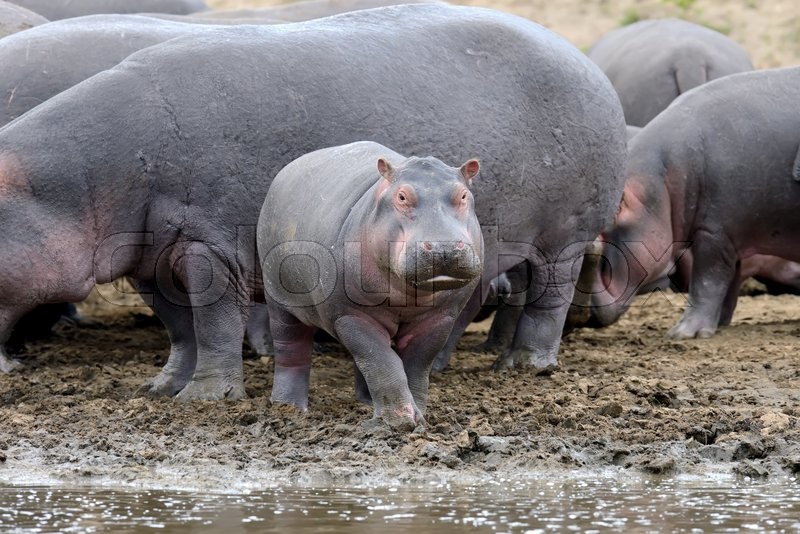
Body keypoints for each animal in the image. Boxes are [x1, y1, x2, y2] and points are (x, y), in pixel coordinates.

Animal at [0, 4, 625, 393]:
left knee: (548, 295)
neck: (81, 176)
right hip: (479, 245)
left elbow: (214, 322)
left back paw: (523, 366)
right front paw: (163, 387)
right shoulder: (148, 255)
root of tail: (586, 59)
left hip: (565, 236)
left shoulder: (212, 245)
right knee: (470, 300)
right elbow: (180, 327)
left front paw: (206, 397)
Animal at [258, 141, 482, 429]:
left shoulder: (440, 318)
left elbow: (415, 365)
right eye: (401, 197)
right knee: (291, 350)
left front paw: (419, 417)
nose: (443, 247)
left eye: (463, 195)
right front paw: (400, 420)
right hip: (278, 300)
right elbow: (382, 364)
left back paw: (364, 402)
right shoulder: (350, 315)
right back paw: (289, 408)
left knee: (361, 362)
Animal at [588, 66, 800, 338]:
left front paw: (683, 333)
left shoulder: (714, 233)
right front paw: (720, 324)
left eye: (610, 223)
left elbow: (707, 282)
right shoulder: (732, 239)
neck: (660, 182)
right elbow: (728, 285)